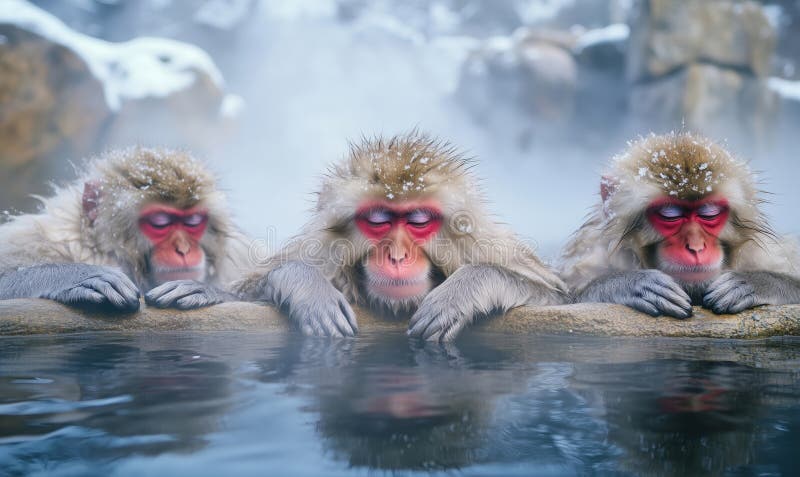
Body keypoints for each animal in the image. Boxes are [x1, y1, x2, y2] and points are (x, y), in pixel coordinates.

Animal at [0, 147, 250, 312]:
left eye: (193, 221)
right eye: (159, 222)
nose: (184, 249)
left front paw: (205, 291)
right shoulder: (40, 238)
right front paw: (78, 277)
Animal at [235, 131, 567, 341]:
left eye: (418, 220)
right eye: (378, 220)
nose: (397, 256)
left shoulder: (482, 246)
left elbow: (553, 295)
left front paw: (464, 291)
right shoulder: (322, 250)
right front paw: (308, 287)